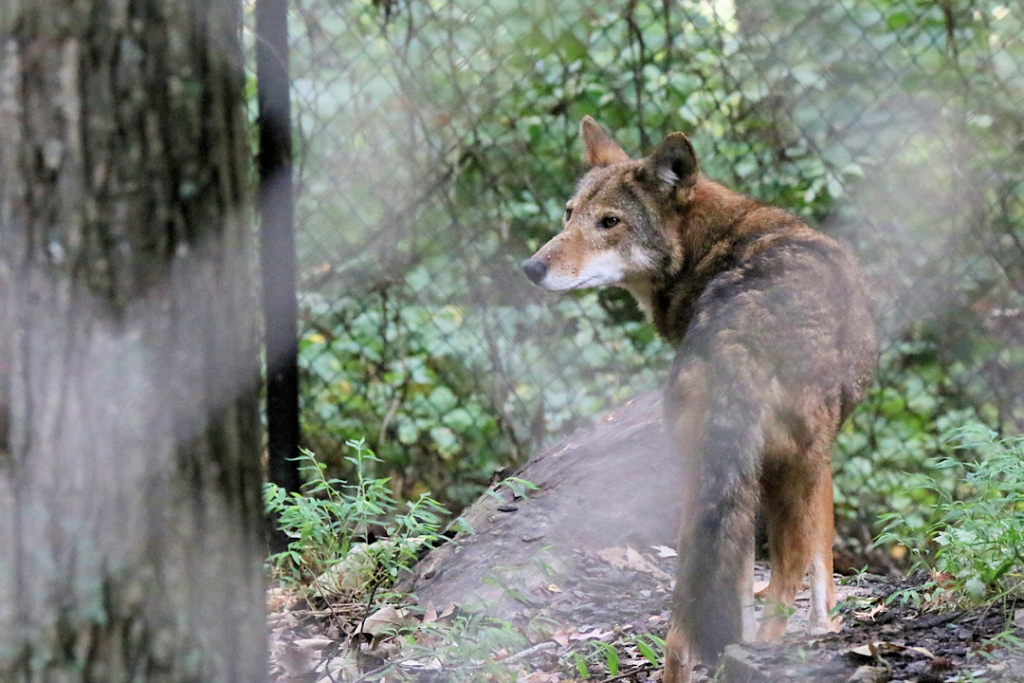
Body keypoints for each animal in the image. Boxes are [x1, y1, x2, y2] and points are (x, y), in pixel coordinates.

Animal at [522, 117, 876, 682]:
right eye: (570, 214)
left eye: (609, 221)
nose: (531, 268)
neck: (713, 246)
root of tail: (739, 334)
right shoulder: (818, 459)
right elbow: (821, 555)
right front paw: (825, 628)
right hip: (778, 472)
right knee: (779, 584)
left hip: (706, 478)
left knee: (687, 618)